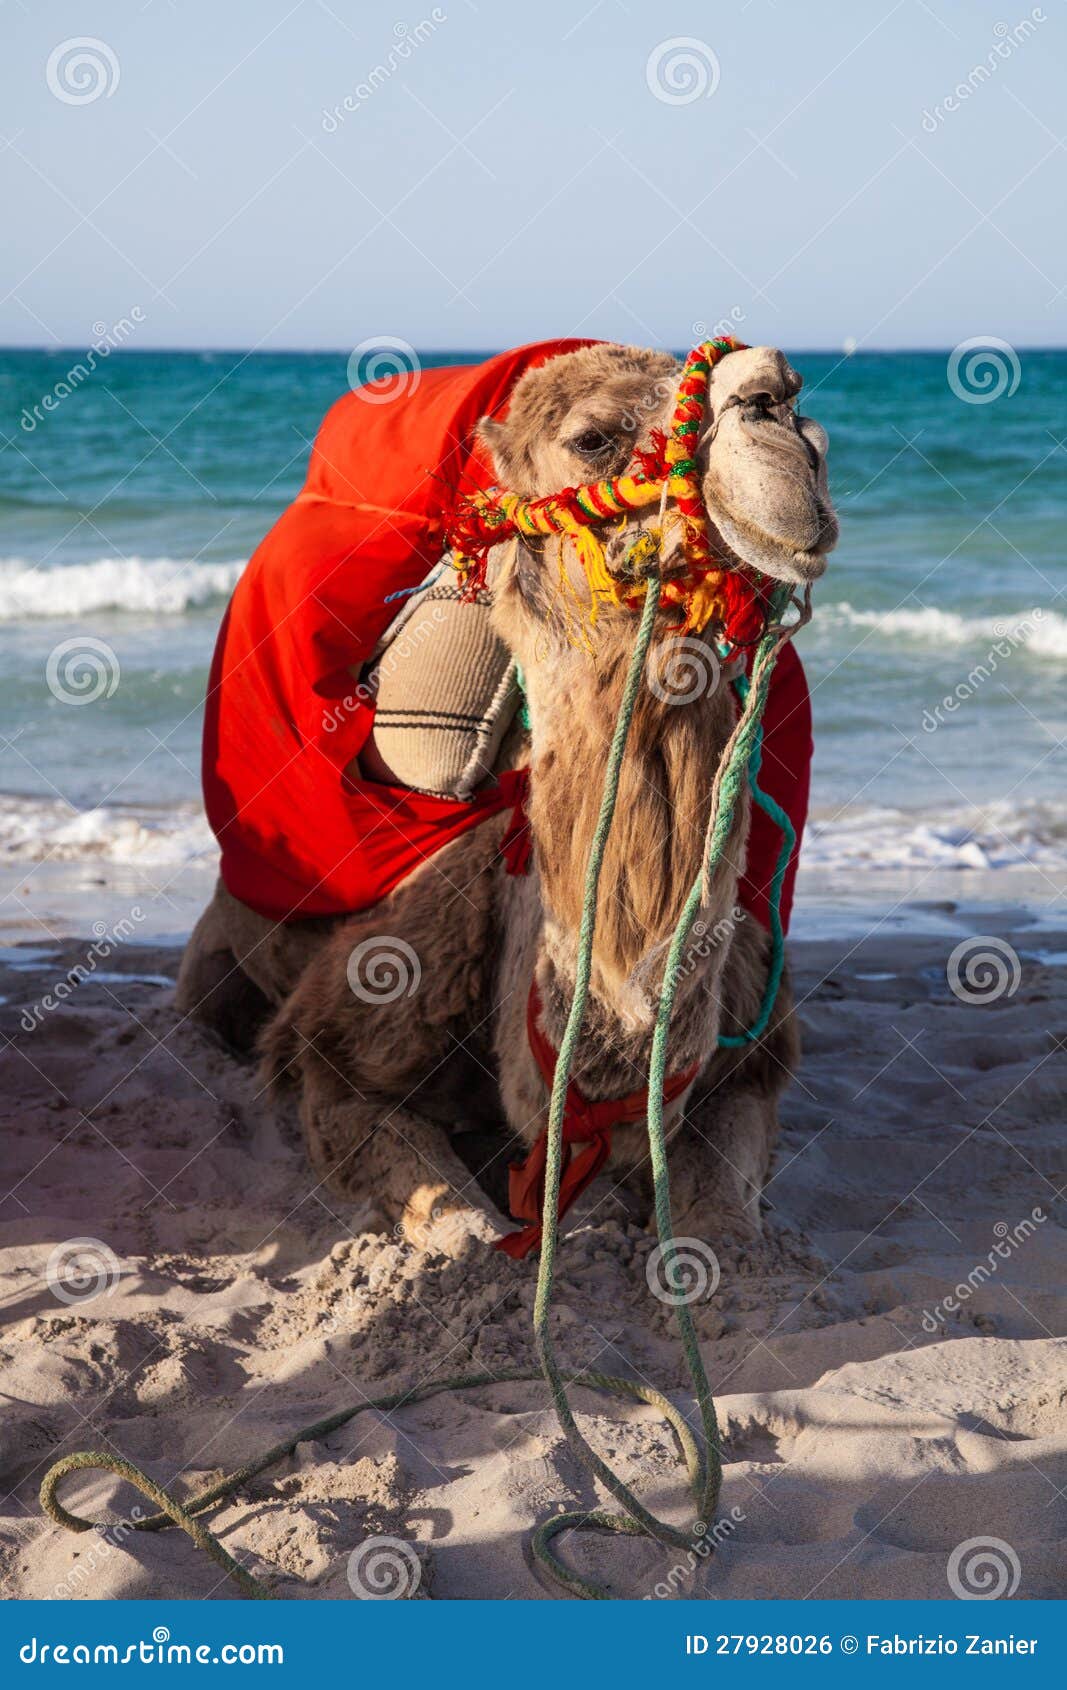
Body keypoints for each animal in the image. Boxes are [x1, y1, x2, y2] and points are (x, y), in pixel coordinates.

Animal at [176, 341, 838, 1259]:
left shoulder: (749, 1060)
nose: (777, 399)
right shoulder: (336, 1056)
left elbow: (720, 1224)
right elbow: (462, 1228)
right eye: (593, 437)